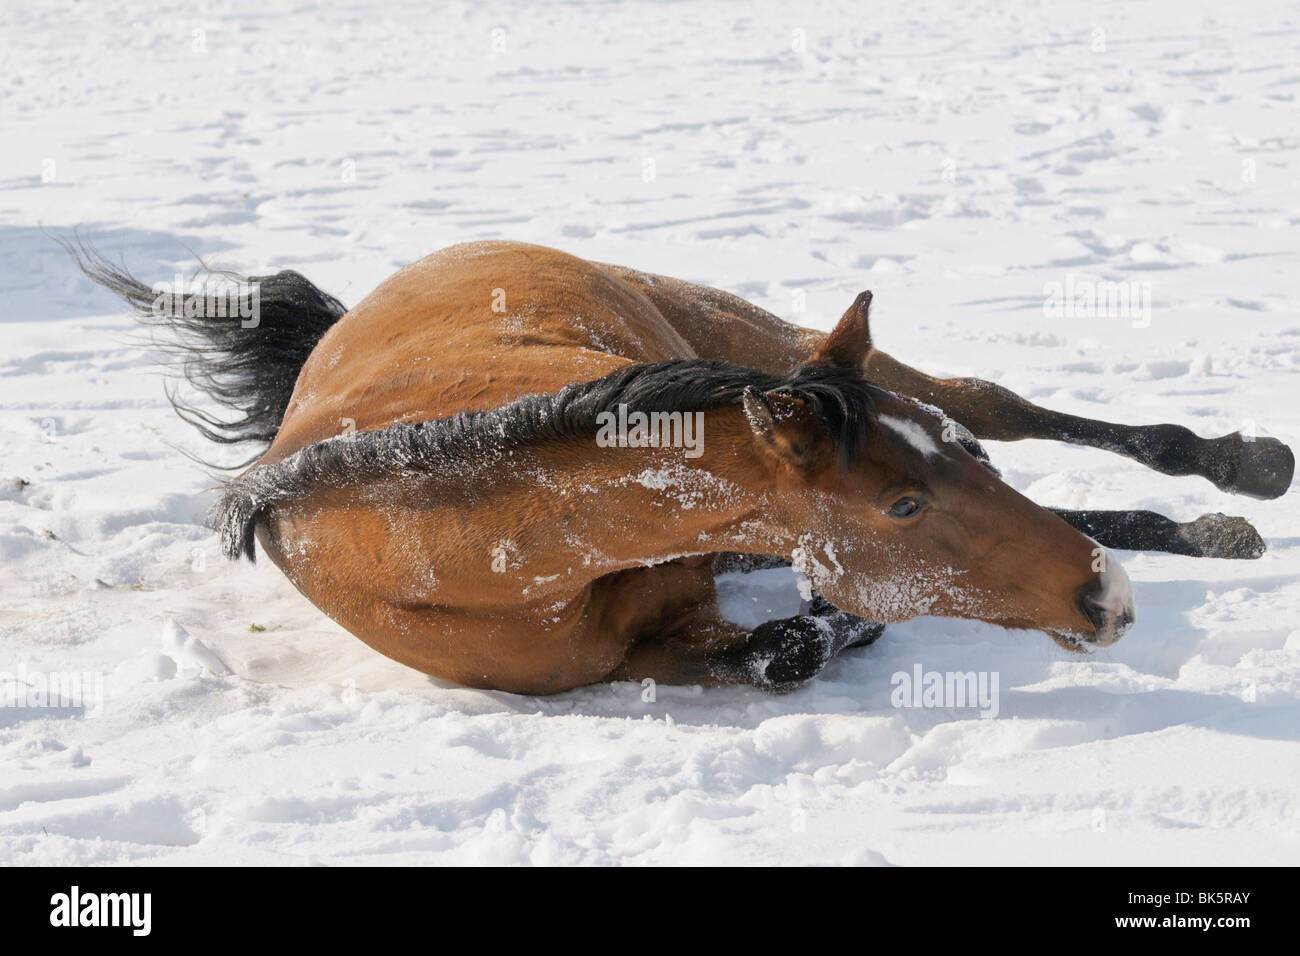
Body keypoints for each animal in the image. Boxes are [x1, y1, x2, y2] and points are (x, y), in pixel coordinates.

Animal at [75, 240, 1292, 694]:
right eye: (903, 504)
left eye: (964, 466)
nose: (1106, 596)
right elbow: (784, 647)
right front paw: (831, 618)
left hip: (765, 336)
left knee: (991, 393)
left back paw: (1235, 476)